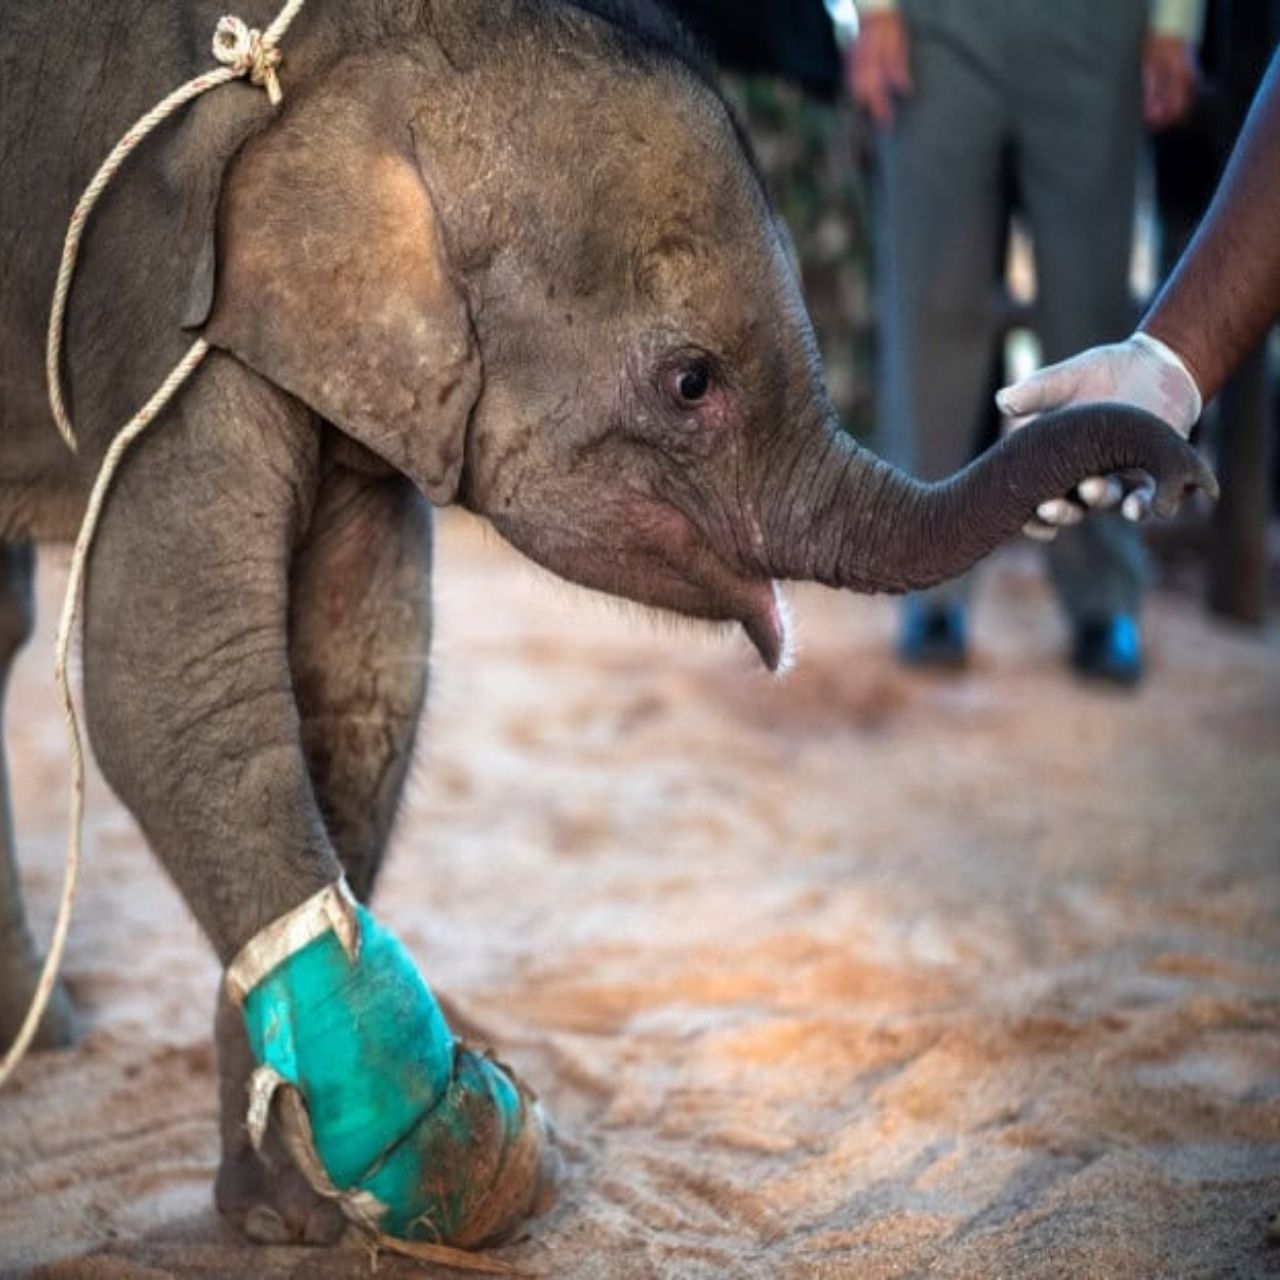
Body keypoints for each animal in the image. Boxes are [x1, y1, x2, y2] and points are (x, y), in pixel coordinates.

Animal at [0, 0, 1214, 1252]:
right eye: (690, 383)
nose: (1178, 480)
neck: (348, 55)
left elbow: (360, 672)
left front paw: (297, 1210)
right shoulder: (158, 318)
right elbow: (172, 687)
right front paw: (449, 1149)